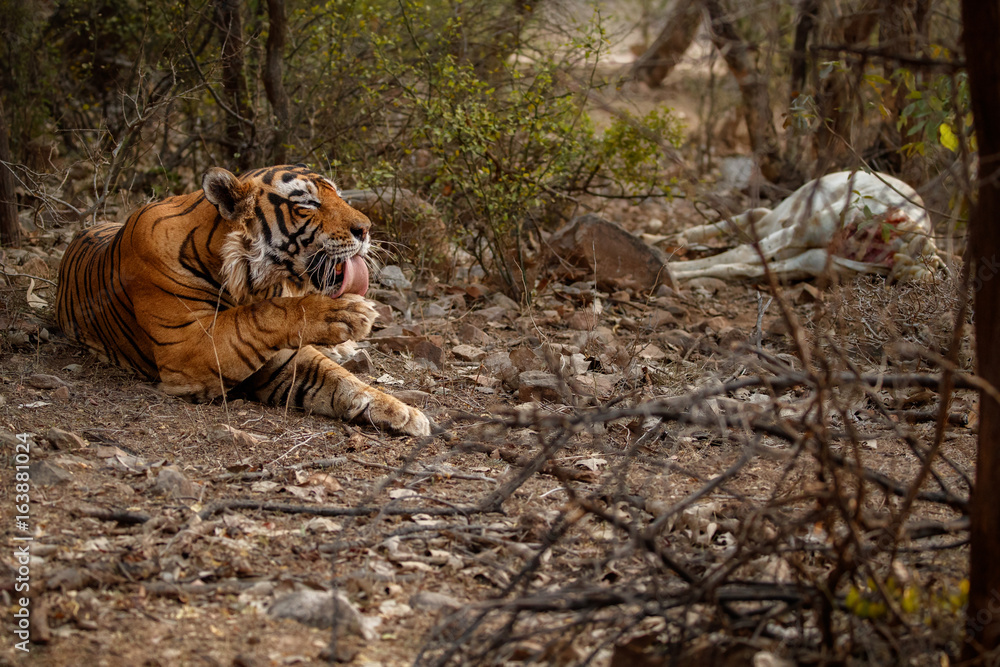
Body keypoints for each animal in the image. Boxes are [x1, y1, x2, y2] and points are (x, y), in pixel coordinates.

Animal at [55, 164, 431, 436]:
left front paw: (404, 413)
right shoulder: (190, 347)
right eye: (307, 204)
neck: (251, 281)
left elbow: (342, 381)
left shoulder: (282, 359)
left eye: (338, 195)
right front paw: (346, 312)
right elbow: (259, 316)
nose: (366, 229)